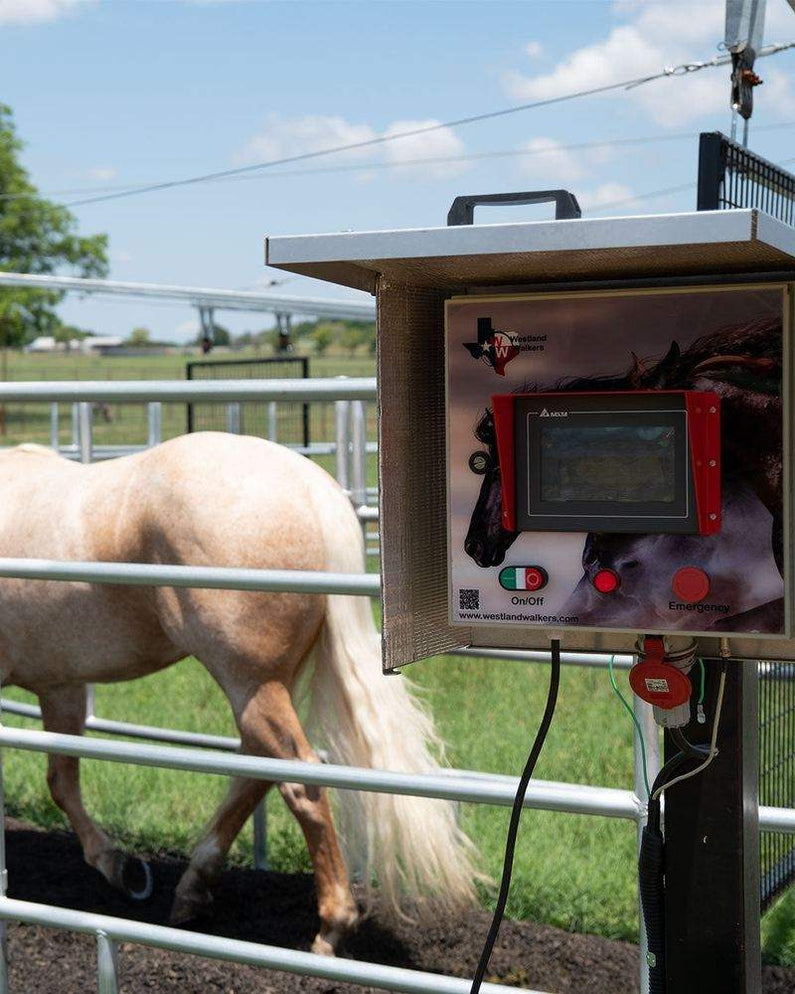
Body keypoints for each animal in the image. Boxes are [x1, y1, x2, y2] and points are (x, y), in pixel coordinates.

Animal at [0, 432, 477, 955]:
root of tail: (312, 489)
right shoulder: (60, 687)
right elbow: (62, 781)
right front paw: (121, 868)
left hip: (249, 681)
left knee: (300, 781)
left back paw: (331, 925)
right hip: (264, 686)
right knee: (257, 770)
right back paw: (193, 888)